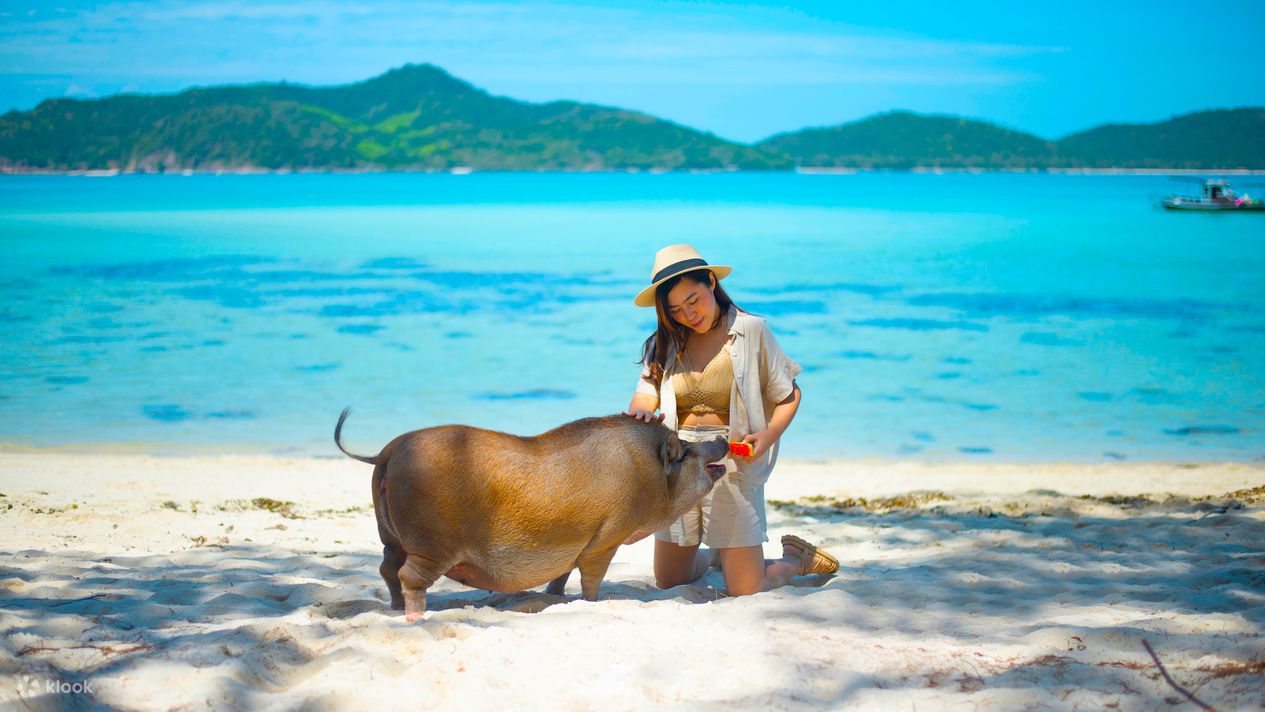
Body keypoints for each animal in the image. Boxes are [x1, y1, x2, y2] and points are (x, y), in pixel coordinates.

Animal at [334, 408, 730, 621]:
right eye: (687, 451)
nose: (722, 438)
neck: (645, 475)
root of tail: (387, 451)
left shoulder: (577, 541)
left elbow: (563, 573)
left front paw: (556, 598)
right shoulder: (607, 536)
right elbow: (591, 577)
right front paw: (592, 603)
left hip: (389, 536)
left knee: (387, 568)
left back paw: (395, 608)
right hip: (432, 542)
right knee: (409, 575)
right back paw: (415, 615)